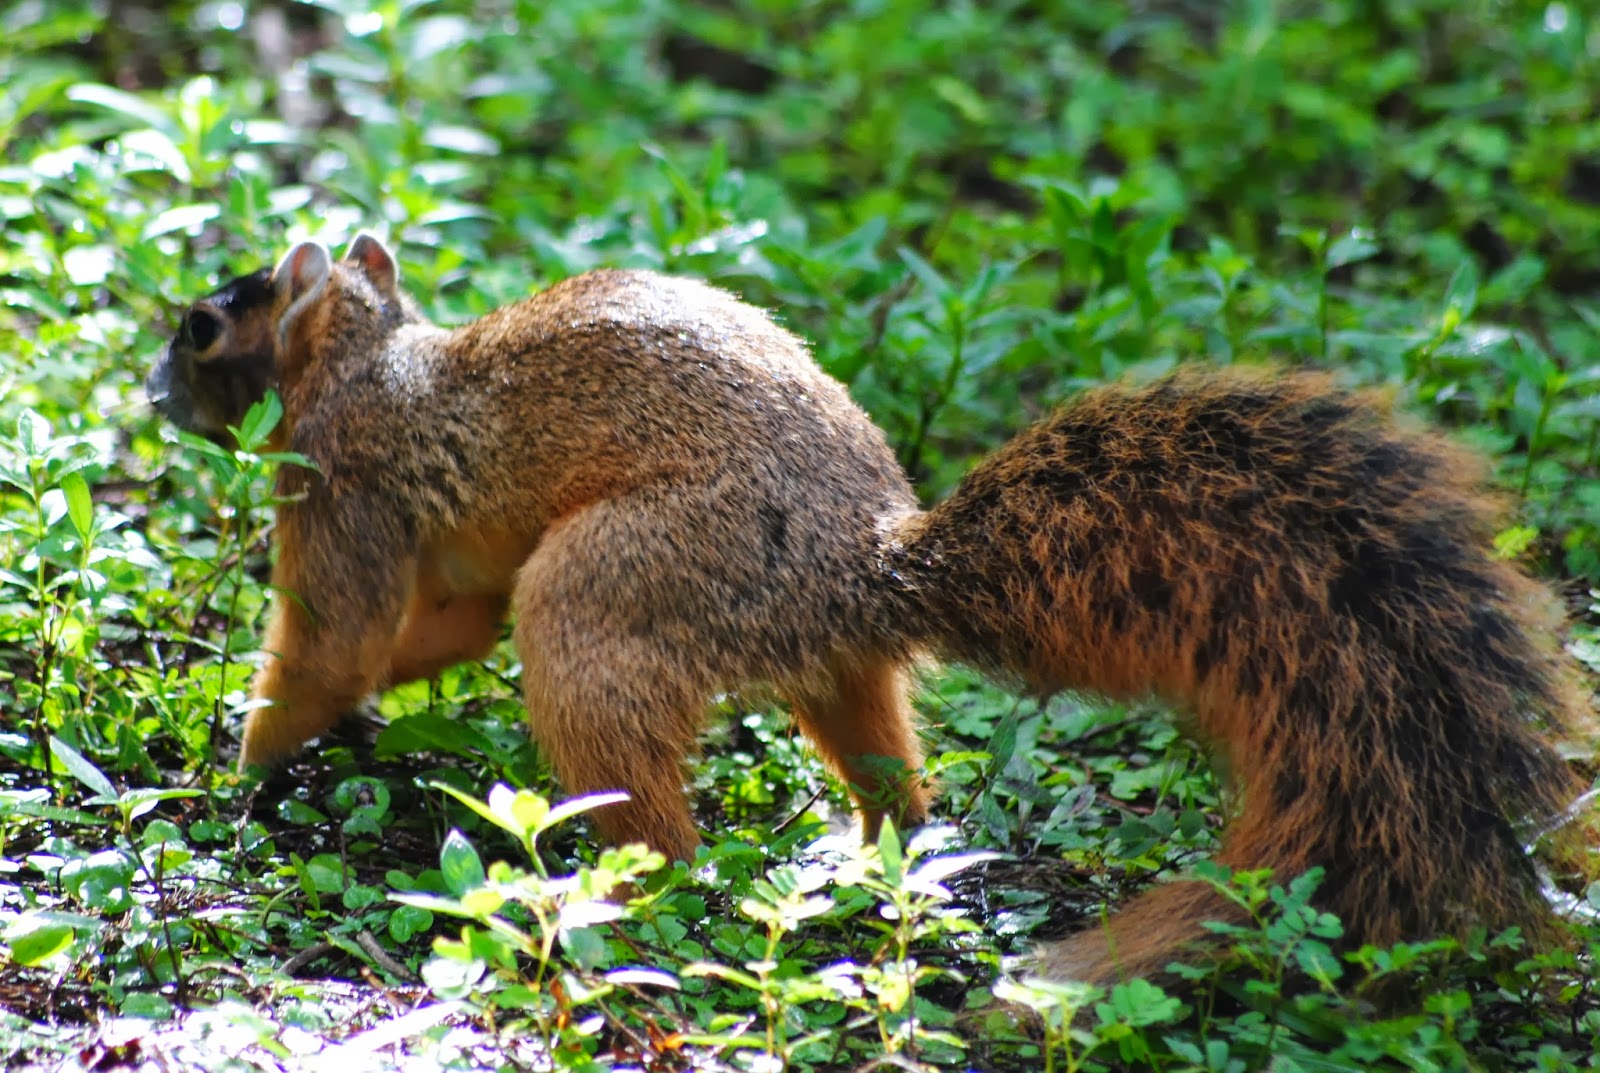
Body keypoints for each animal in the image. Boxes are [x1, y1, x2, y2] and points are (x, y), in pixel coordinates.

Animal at [148, 232, 1595, 986]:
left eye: (209, 322)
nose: (155, 394)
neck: (374, 357)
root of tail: (868, 566)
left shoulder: (336, 484)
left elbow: (331, 644)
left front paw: (248, 760)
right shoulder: (445, 556)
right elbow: (427, 631)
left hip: (622, 581)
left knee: (648, 797)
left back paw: (618, 887)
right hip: (823, 662)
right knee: (891, 766)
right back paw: (864, 858)